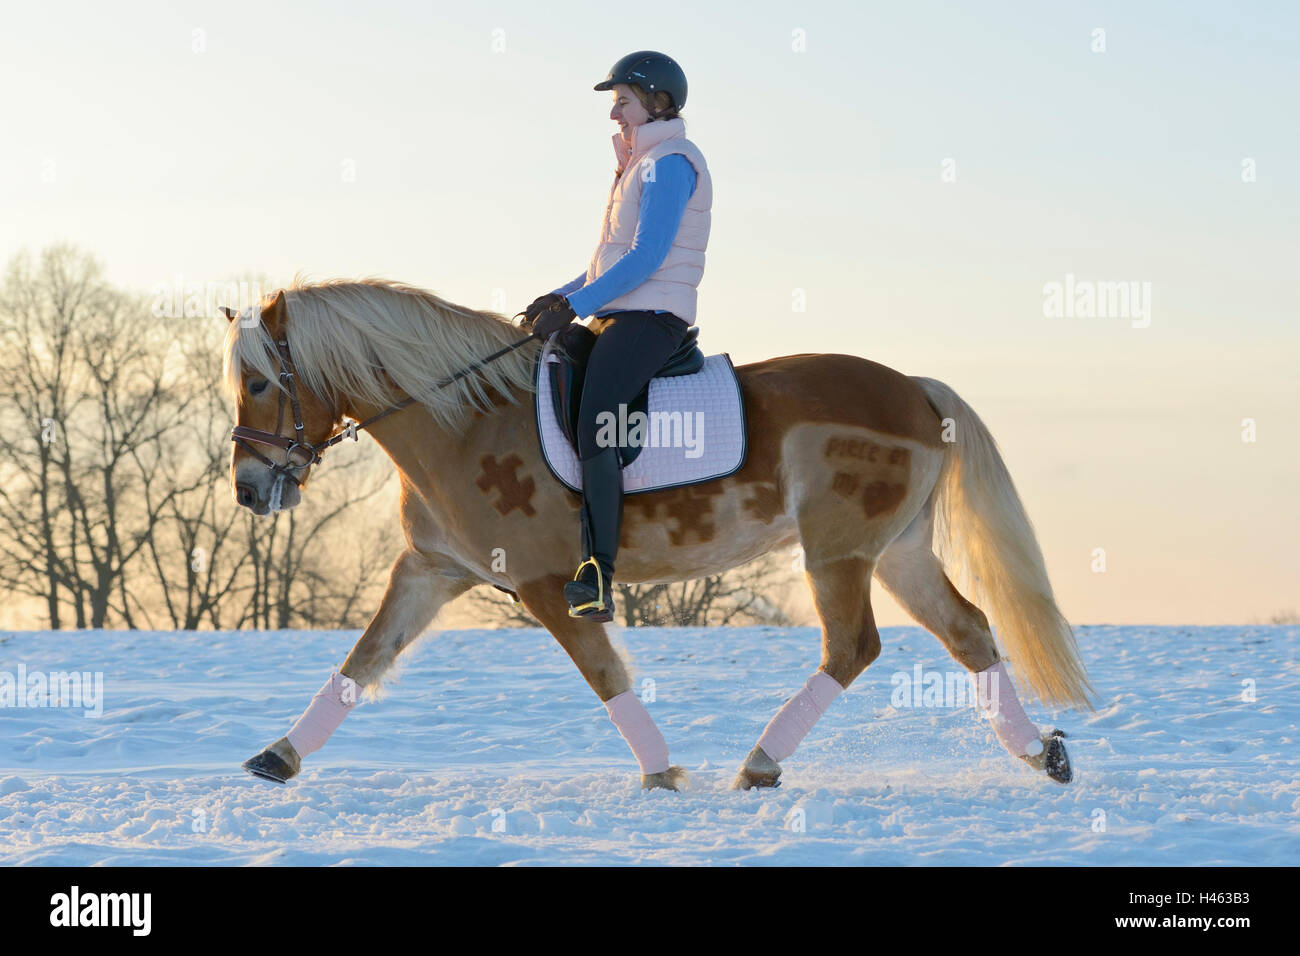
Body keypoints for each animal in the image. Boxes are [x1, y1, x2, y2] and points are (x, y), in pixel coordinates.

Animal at [222, 279, 1094, 791]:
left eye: (260, 381)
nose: (249, 490)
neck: (462, 419)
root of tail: (916, 389)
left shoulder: (545, 584)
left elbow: (604, 674)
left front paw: (663, 773)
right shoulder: (431, 568)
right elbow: (361, 661)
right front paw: (278, 755)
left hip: (838, 552)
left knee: (854, 647)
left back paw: (761, 761)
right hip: (897, 551)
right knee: (970, 631)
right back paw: (1039, 753)